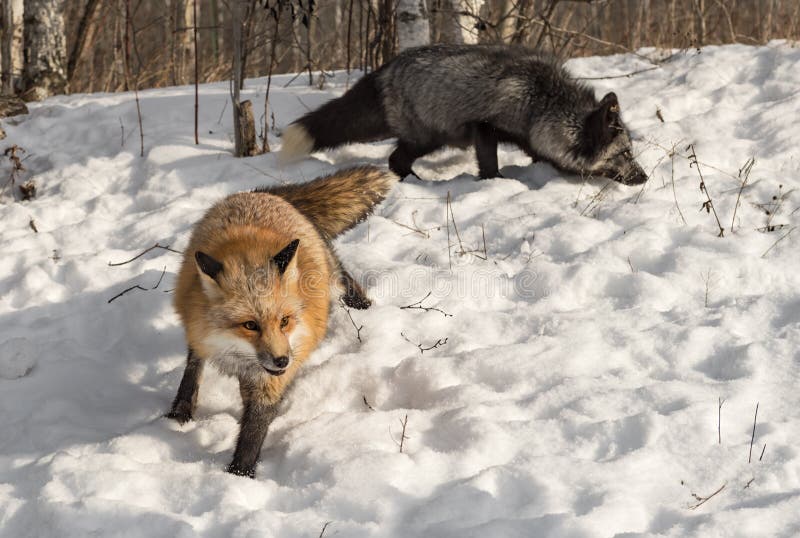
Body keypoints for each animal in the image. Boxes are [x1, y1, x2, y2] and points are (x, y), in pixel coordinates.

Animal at [166, 166, 397, 478]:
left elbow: (254, 430)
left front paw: (240, 475)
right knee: (194, 363)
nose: (282, 361)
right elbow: (195, 365)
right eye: (250, 325)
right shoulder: (200, 330)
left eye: (285, 321)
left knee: (344, 275)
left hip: (328, 271)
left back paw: (362, 306)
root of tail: (261, 194)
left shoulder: (274, 376)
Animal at [281, 44, 647, 186]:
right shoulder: (484, 125)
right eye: (625, 154)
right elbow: (489, 162)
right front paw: (495, 183)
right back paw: (415, 181)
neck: (541, 100)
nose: (644, 178)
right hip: (427, 138)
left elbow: (538, 154)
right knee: (395, 160)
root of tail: (385, 69)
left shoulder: (532, 137)